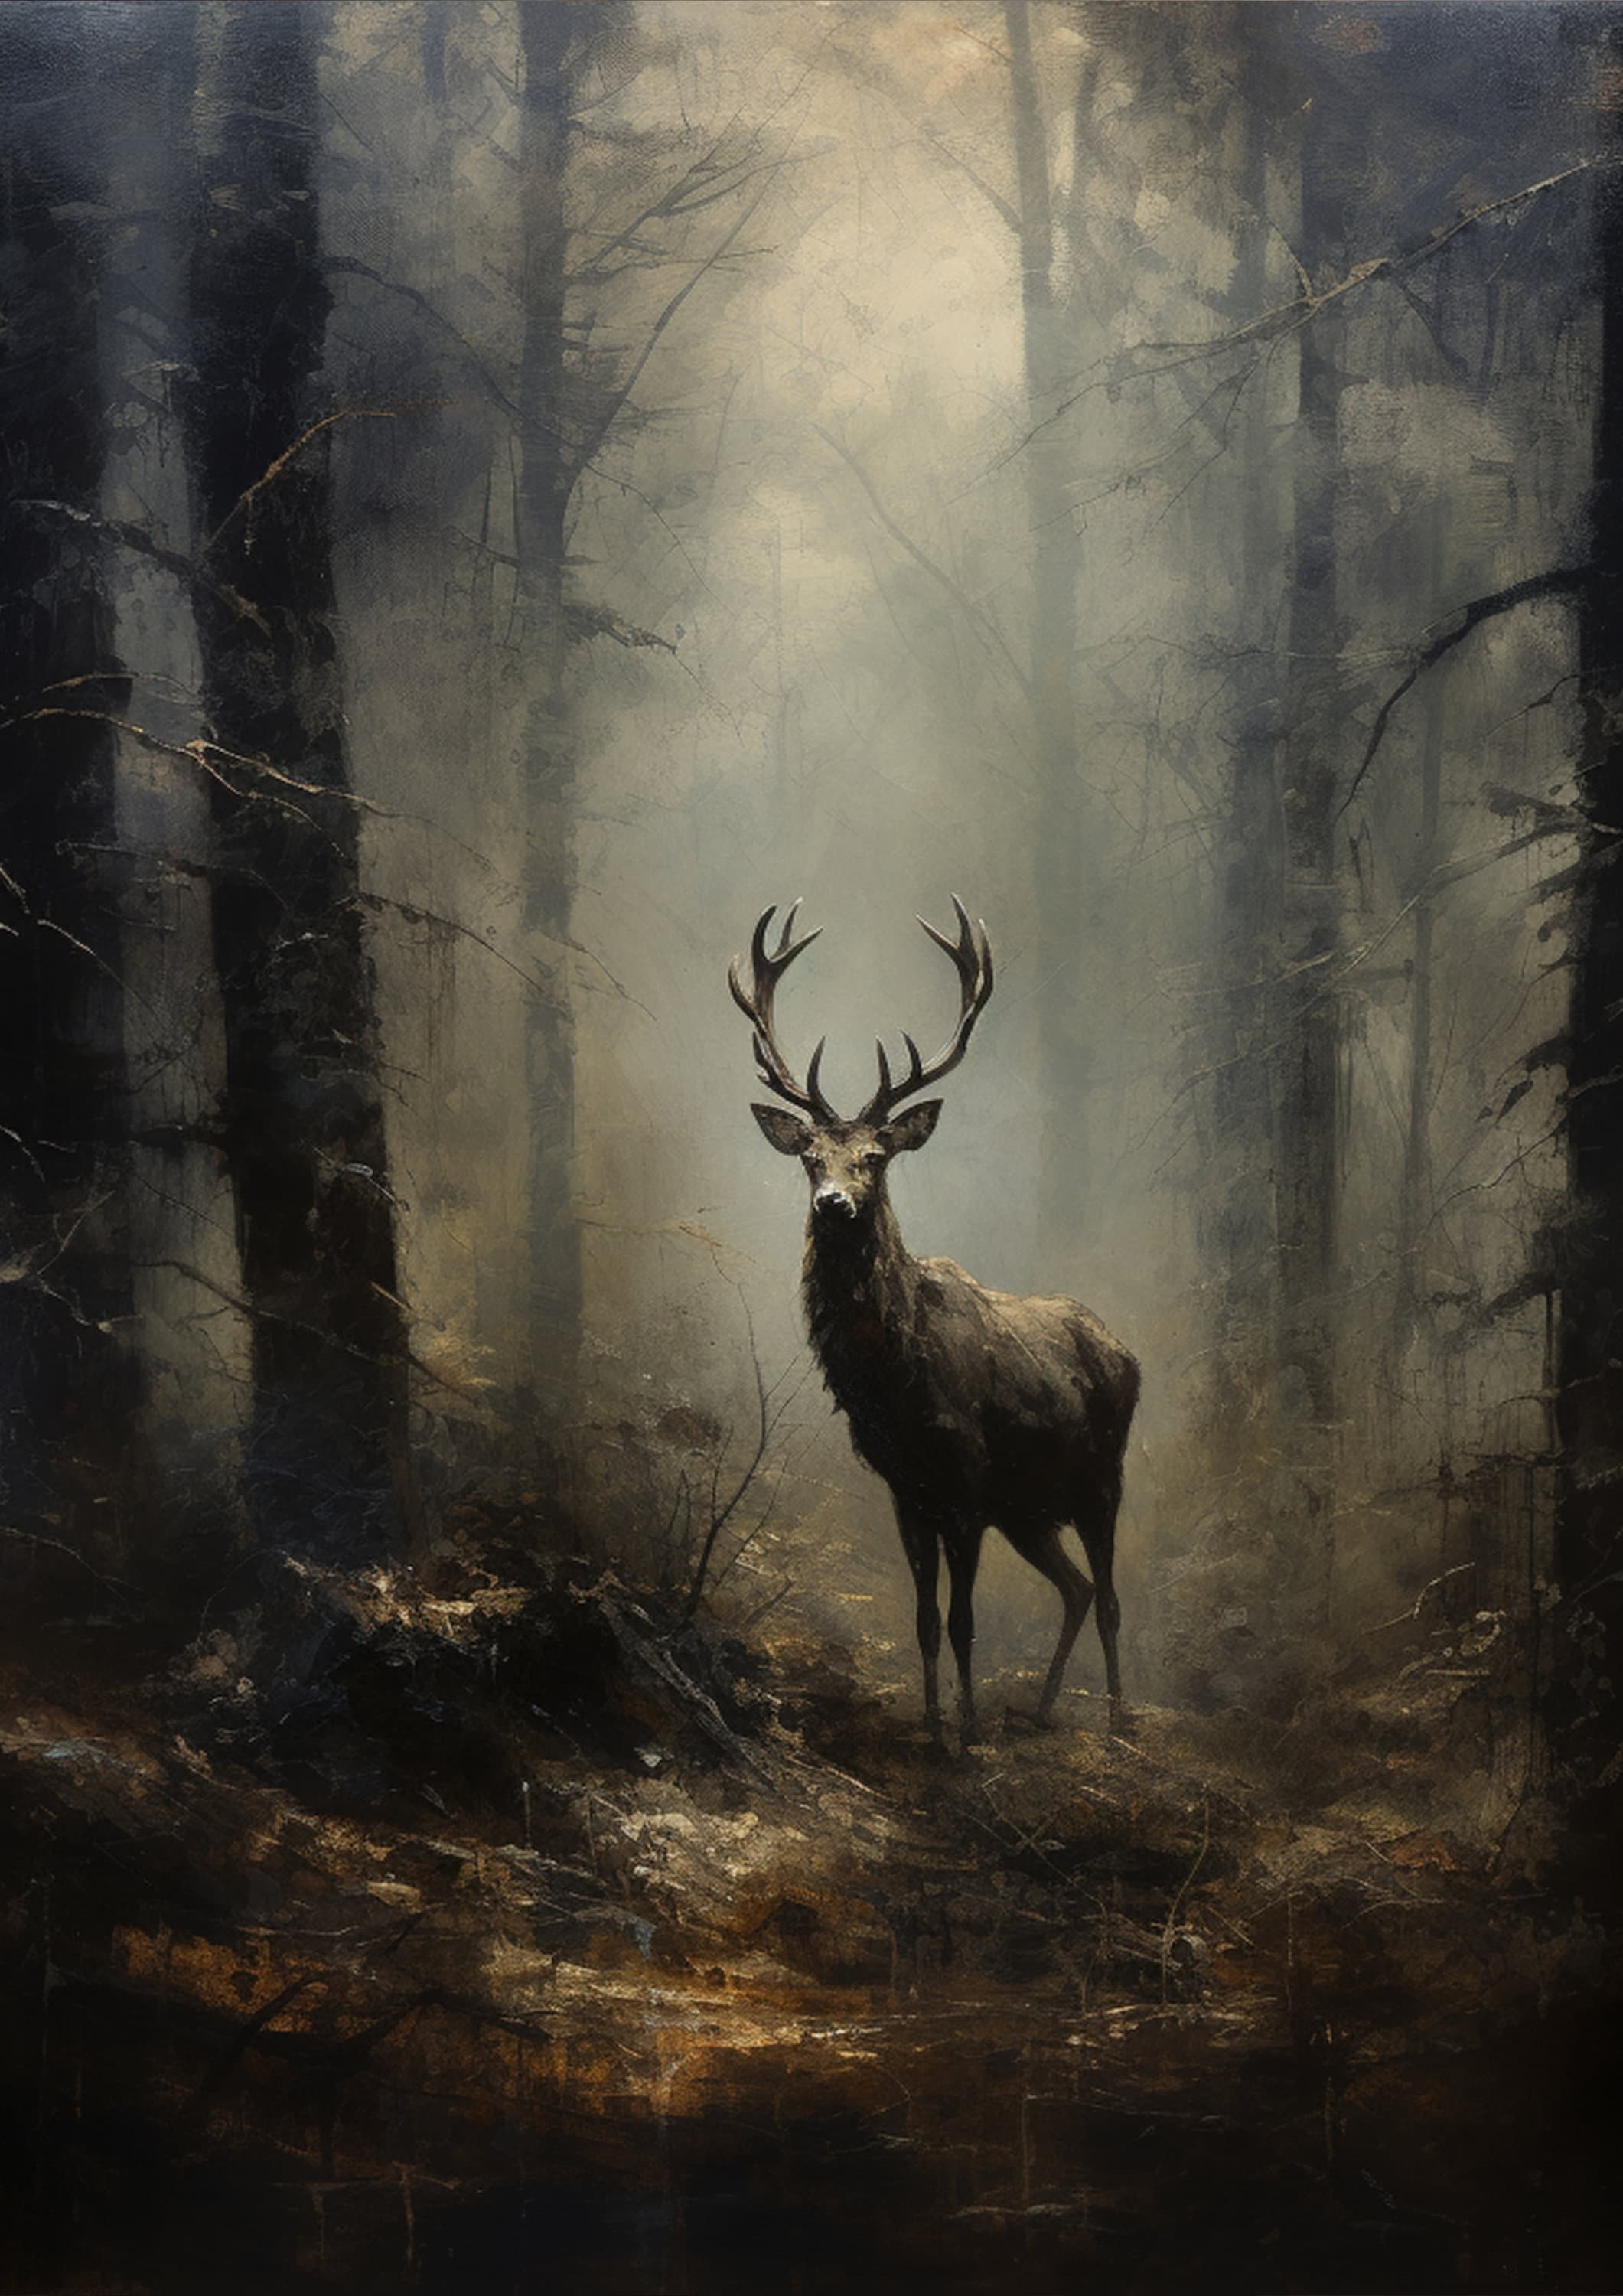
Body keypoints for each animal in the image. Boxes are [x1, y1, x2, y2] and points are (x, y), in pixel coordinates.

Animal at [731, 897, 1139, 1748]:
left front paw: (969, 1731)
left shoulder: (966, 1480)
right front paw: (931, 1722)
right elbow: (922, 1619)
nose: (835, 1203)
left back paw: (1118, 1716)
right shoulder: (906, 1488)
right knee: (1076, 1588)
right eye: (811, 1158)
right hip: (1030, 1508)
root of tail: (1125, 1351)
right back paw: (1042, 1708)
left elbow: (962, 1621)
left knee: (1111, 1595)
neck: (898, 1389)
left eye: (874, 1157)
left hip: (1102, 1474)